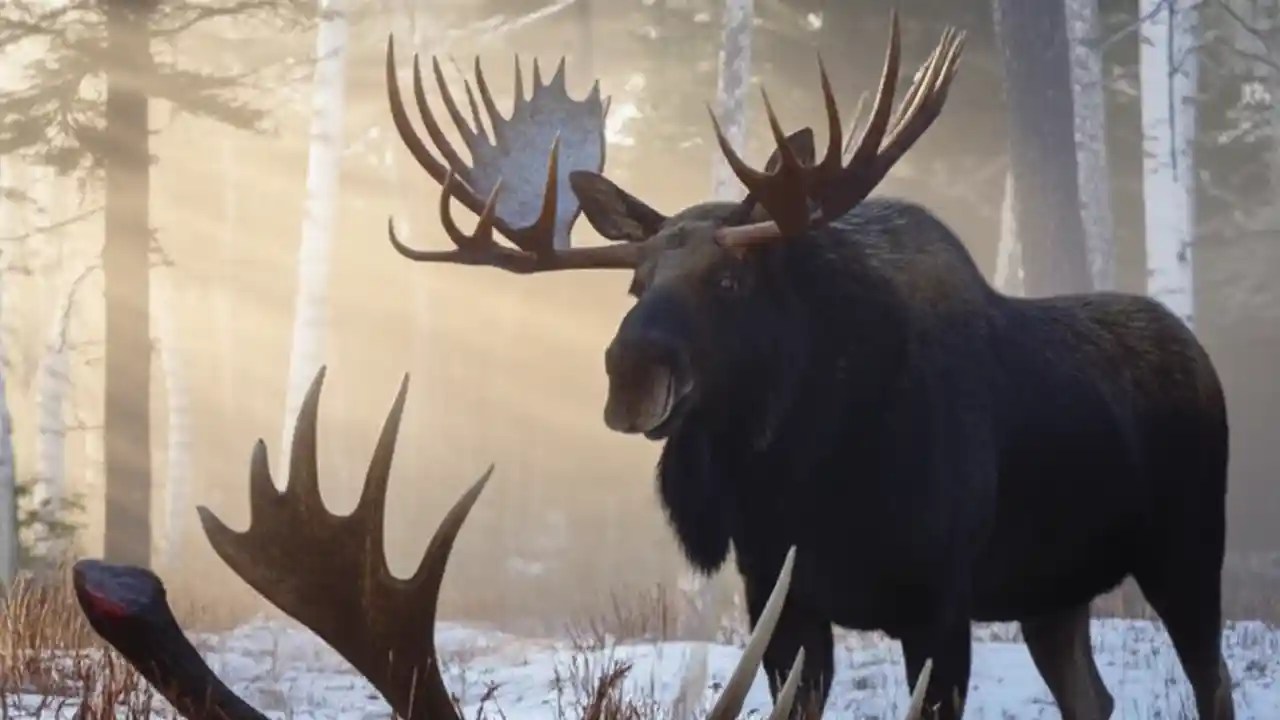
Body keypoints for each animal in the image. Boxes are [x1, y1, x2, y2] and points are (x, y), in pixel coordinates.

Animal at [382, 12, 1234, 720]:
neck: (797, 474)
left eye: (729, 279)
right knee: (1094, 696)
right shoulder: (780, 599)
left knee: (1213, 683)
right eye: (635, 282)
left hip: (1188, 552)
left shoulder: (939, 601)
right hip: (1053, 592)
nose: (629, 375)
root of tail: (1200, 354)